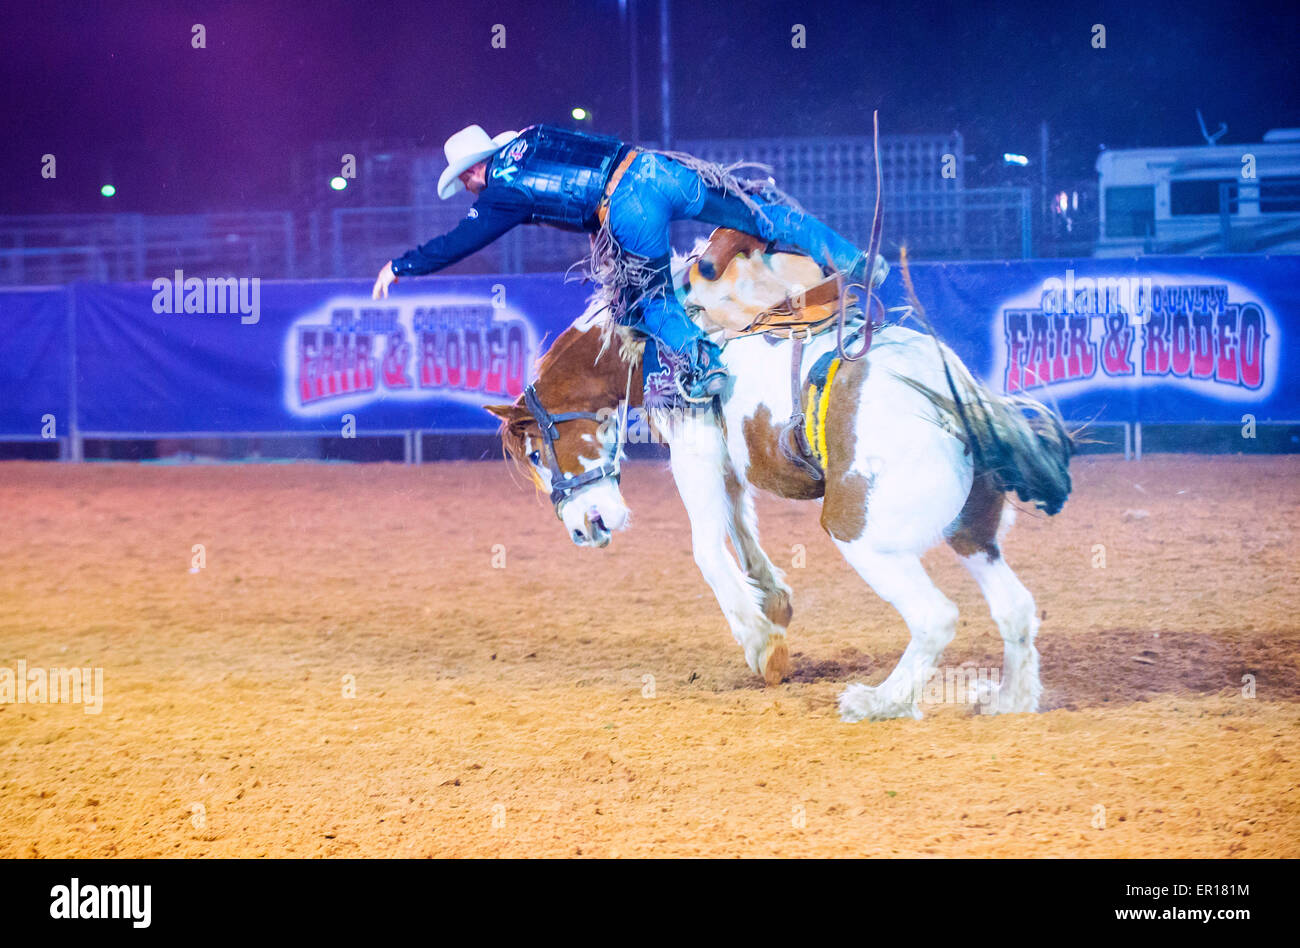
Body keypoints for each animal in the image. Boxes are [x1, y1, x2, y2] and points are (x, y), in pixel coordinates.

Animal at [485, 236, 1073, 721]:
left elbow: (706, 546)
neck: (651, 338)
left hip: (862, 536)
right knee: (1016, 609)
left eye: (537, 452)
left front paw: (762, 645)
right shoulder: (729, 455)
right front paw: (772, 602)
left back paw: (877, 702)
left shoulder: (693, 442)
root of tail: (957, 399)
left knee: (936, 617)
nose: (584, 528)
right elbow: (740, 523)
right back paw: (1009, 701)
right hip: (971, 530)